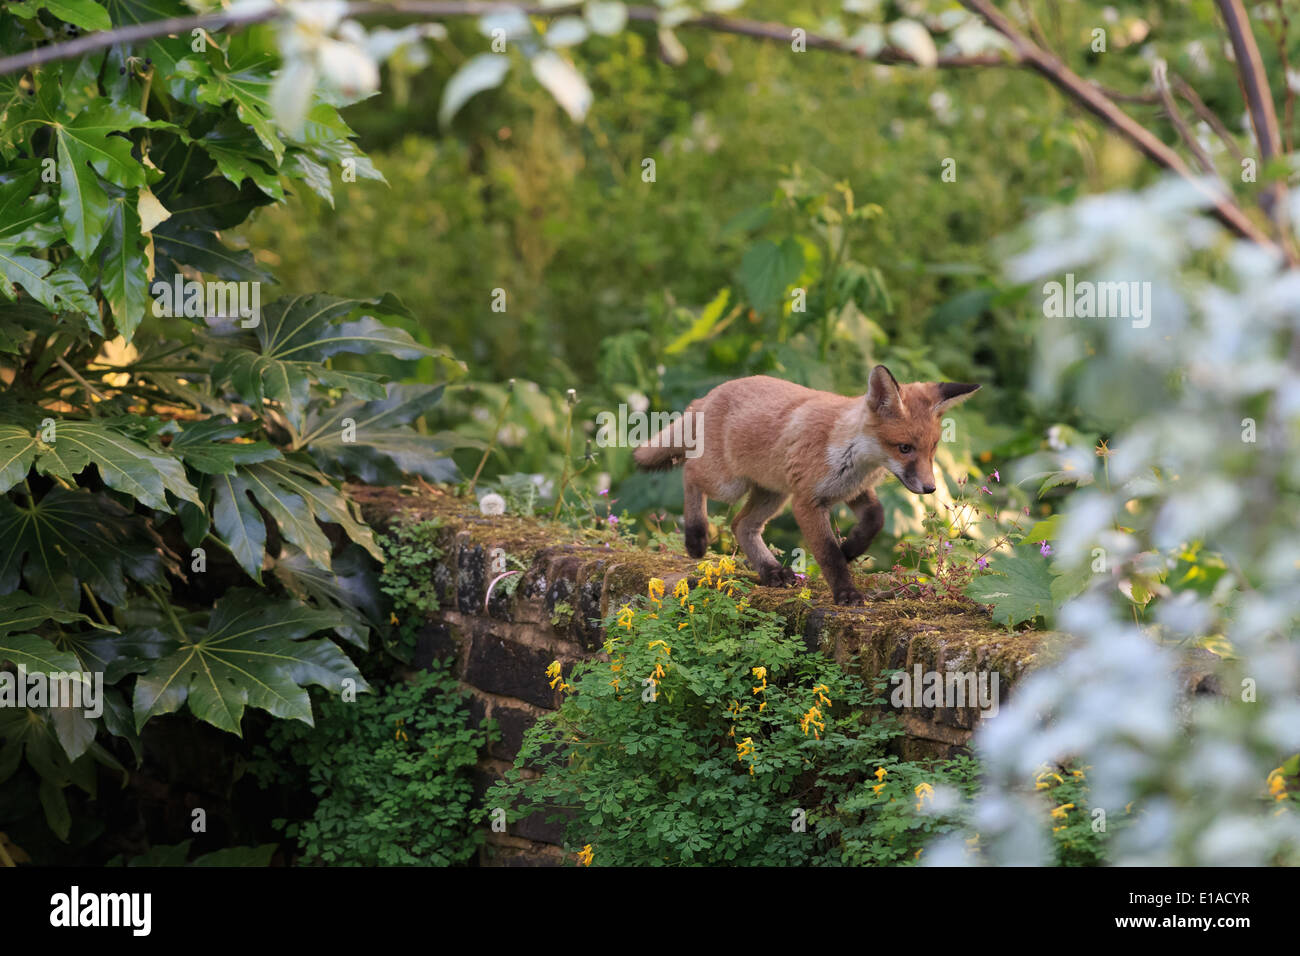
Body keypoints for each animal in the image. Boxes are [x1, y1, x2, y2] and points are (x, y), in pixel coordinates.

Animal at [633, 366, 980, 605]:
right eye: (905, 448)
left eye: (933, 449)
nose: (930, 489)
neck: (855, 455)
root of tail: (709, 395)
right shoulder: (807, 501)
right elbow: (827, 554)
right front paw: (846, 593)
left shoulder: (848, 490)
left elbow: (876, 519)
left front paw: (851, 548)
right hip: (729, 484)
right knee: (690, 473)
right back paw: (696, 537)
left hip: (773, 493)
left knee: (741, 525)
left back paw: (772, 571)